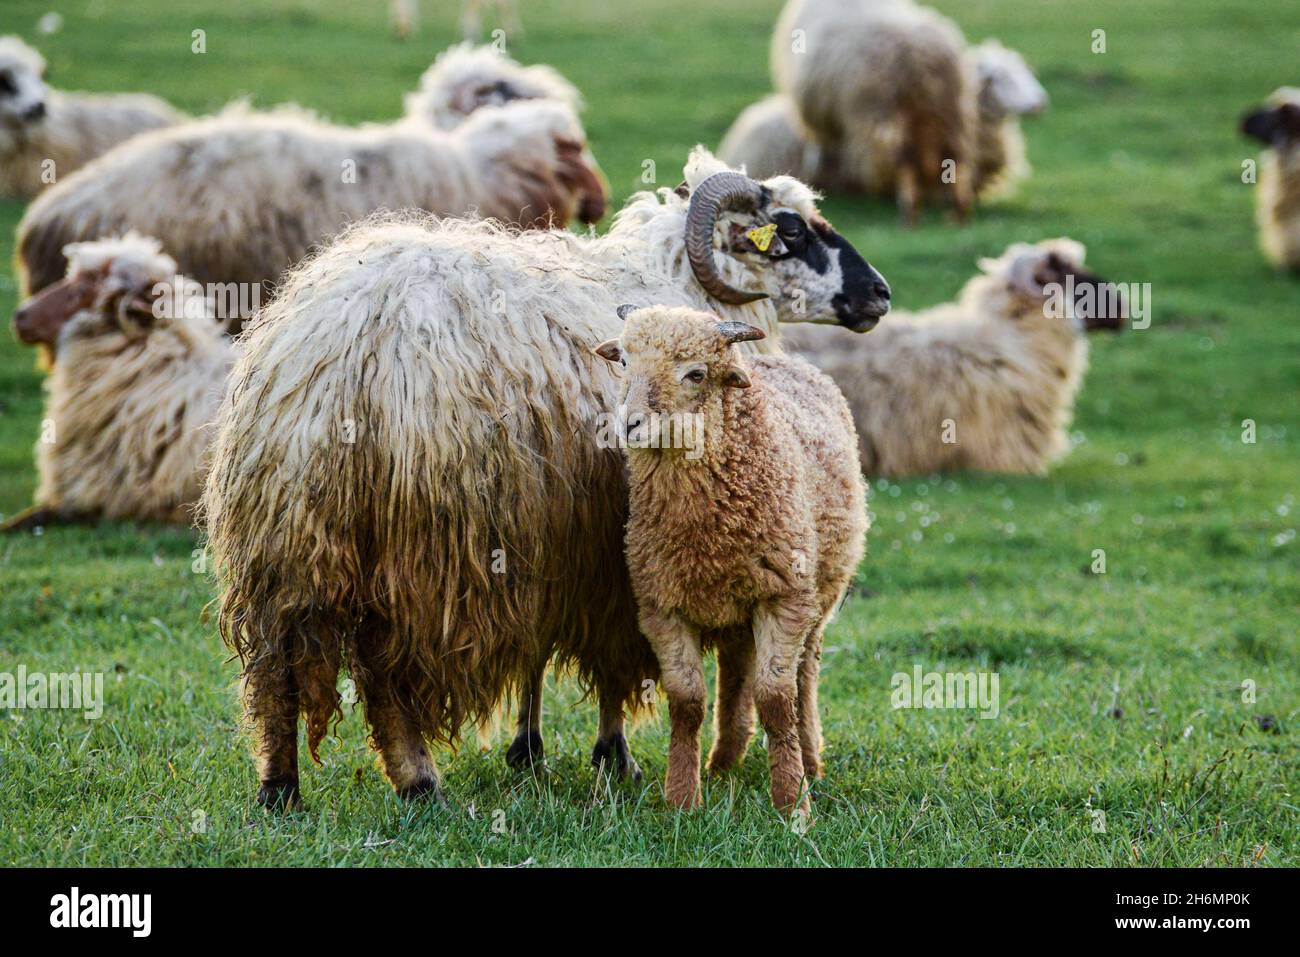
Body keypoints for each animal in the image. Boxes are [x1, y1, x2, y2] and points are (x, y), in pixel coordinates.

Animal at [592, 306, 867, 815]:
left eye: (696, 373)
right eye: (622, 361)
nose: (629, 425)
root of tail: (782, 360)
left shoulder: (783, 597)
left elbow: (776, 699)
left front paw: (792, 802)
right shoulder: (662, 607)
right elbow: (686, 703)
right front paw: (682, 799)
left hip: (817, 597)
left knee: (804, 676)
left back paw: (810, 759)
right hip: (734, 603)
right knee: (737, 668)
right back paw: (724, 759)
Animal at [771, 0, 978, 224]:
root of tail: (918, 60)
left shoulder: (818, 116)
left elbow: (817, 149)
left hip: (881, 111)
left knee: (904, 160)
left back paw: (910, 210)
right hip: (949, 113)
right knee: (956, 157)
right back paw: (959, 210)